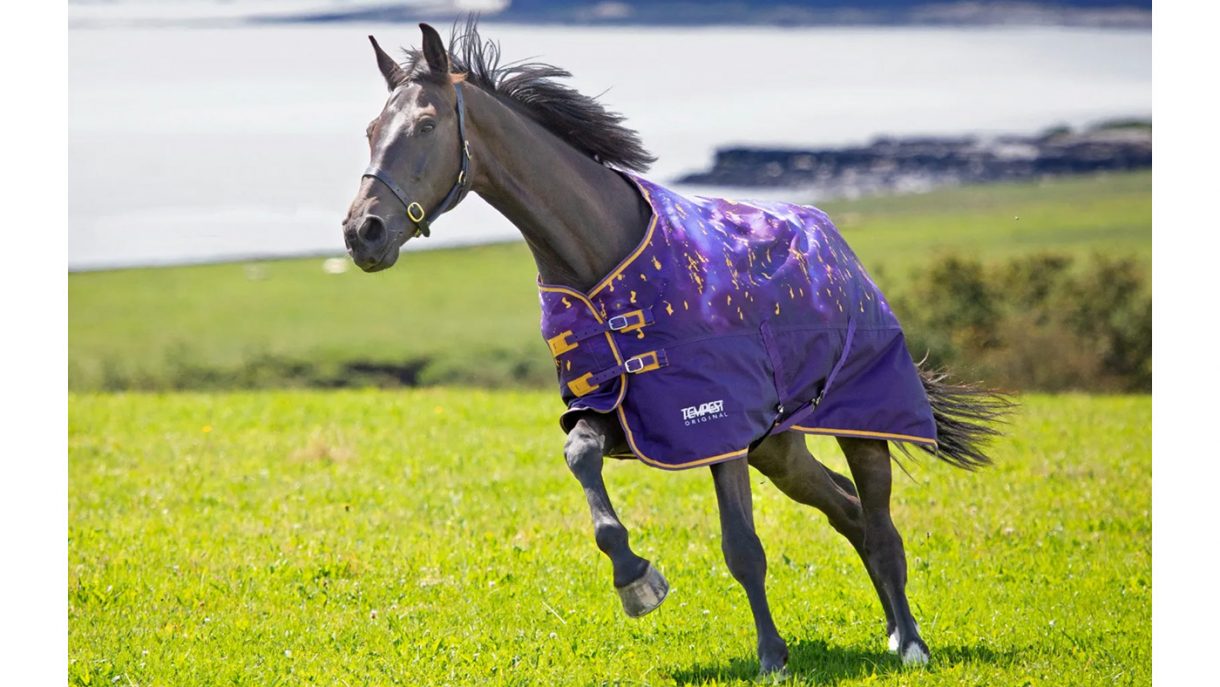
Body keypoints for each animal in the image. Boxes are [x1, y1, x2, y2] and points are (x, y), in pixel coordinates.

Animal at [341, 19, 1011, 676]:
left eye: (427, 125)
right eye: (372, 130)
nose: (361, 233)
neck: (602, 259)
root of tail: (837, 247)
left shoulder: (716, 428)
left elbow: (743, 547)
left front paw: (772, 656)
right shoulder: (617, 410)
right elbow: (580, 459)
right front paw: (637, 580)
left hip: (861, 420)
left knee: (880, 524)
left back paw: (914, 645)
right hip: (778, 447)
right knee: (848, 512)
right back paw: (894, 635)